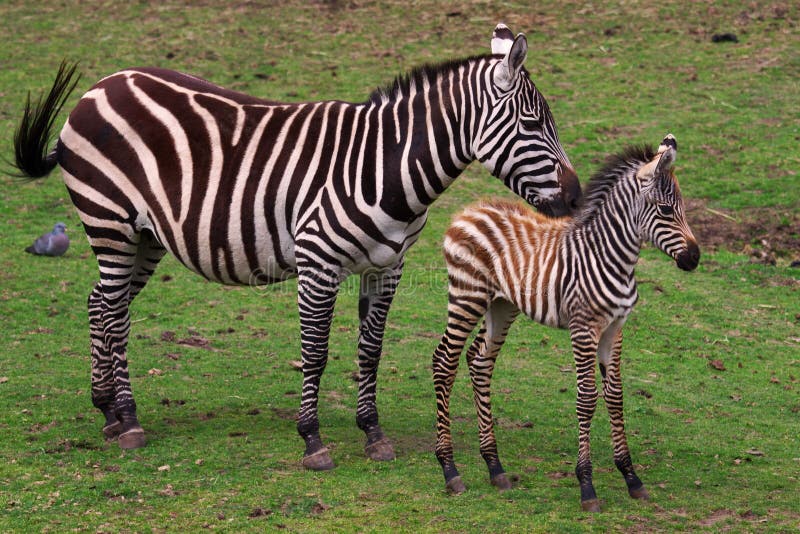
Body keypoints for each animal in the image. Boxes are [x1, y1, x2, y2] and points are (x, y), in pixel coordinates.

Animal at [12, 24, 582, 471]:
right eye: (534, 124)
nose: (577, 197)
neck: (386, 167)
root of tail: (99, 86)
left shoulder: (387, 268)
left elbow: (370, 349)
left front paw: (373, 433)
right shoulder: (318, 263)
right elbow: (315, 350)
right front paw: (312, 439)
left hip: (145, 236)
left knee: (100, 304)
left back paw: (107, 409)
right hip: (109, 221)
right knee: (113, 312)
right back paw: (128, 419)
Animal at [431, 135, 699, 511]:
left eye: (683, 208)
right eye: (664, 210)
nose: (695, 258)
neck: (611, 257)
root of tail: (469, 210)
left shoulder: (615, 329)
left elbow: (615, 395)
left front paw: (631, 477)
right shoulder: (583, 327)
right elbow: (586, 398)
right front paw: (587, 486)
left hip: (501, 304)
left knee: (480, 361)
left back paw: (495, 466)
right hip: (467, 295)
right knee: (444, 361)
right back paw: (449, 469)